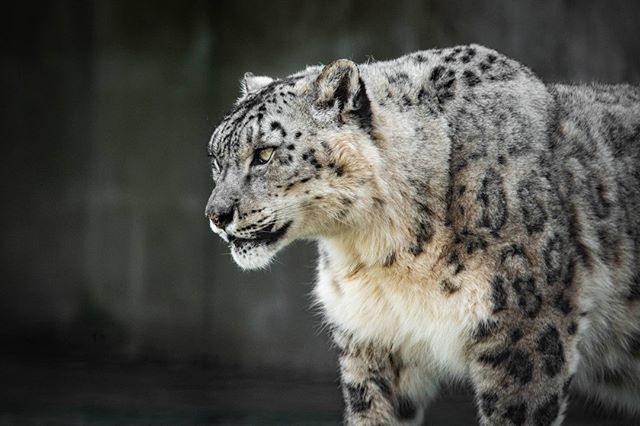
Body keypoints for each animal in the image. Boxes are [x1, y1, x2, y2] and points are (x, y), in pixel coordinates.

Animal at [204, 44, 640, 425]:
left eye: (264, 153)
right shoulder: (375, 339)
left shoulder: (524, 334)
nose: (216, 215)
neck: (378, 251)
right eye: (216, 159)